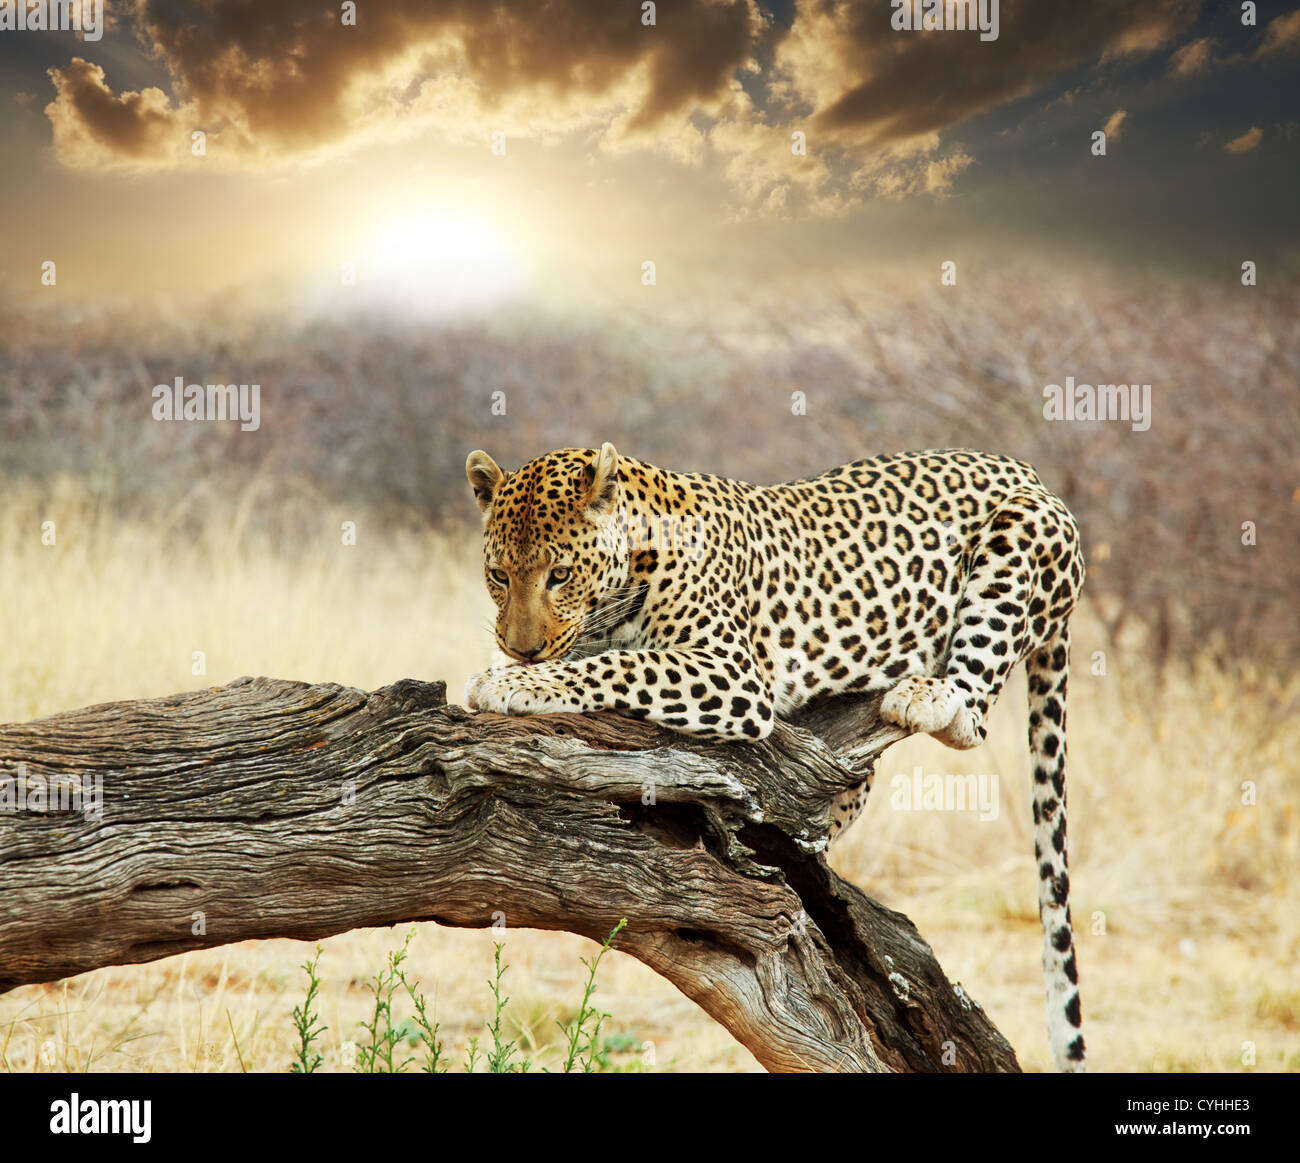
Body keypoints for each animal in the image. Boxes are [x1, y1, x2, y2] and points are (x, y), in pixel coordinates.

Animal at [463, 442, 1086, 1072]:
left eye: (560, 574)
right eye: (498, 576)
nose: (522, 648)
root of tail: (1024, 469)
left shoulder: (729, 670)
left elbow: (619, 665)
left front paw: (512, 682)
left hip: (1021, 534)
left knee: (971, 714)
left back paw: (926, 696)